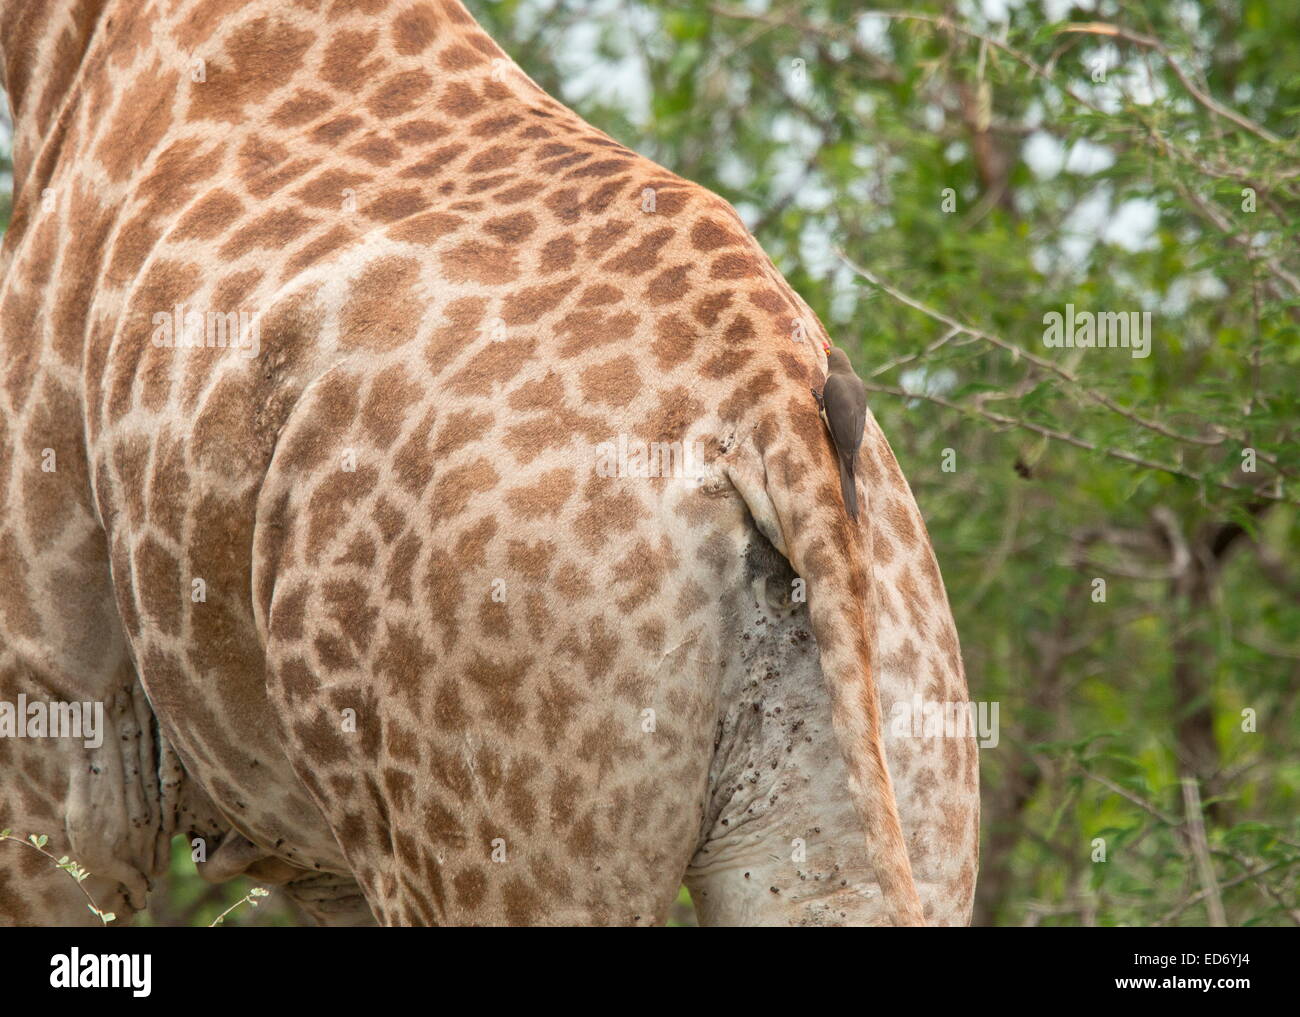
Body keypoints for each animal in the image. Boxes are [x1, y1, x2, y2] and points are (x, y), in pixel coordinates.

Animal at [0, 0, 979, 926]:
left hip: (495, 850)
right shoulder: (322, 866)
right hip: (854, 811)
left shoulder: (54, 750)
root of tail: (774, 407)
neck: (61, 46)